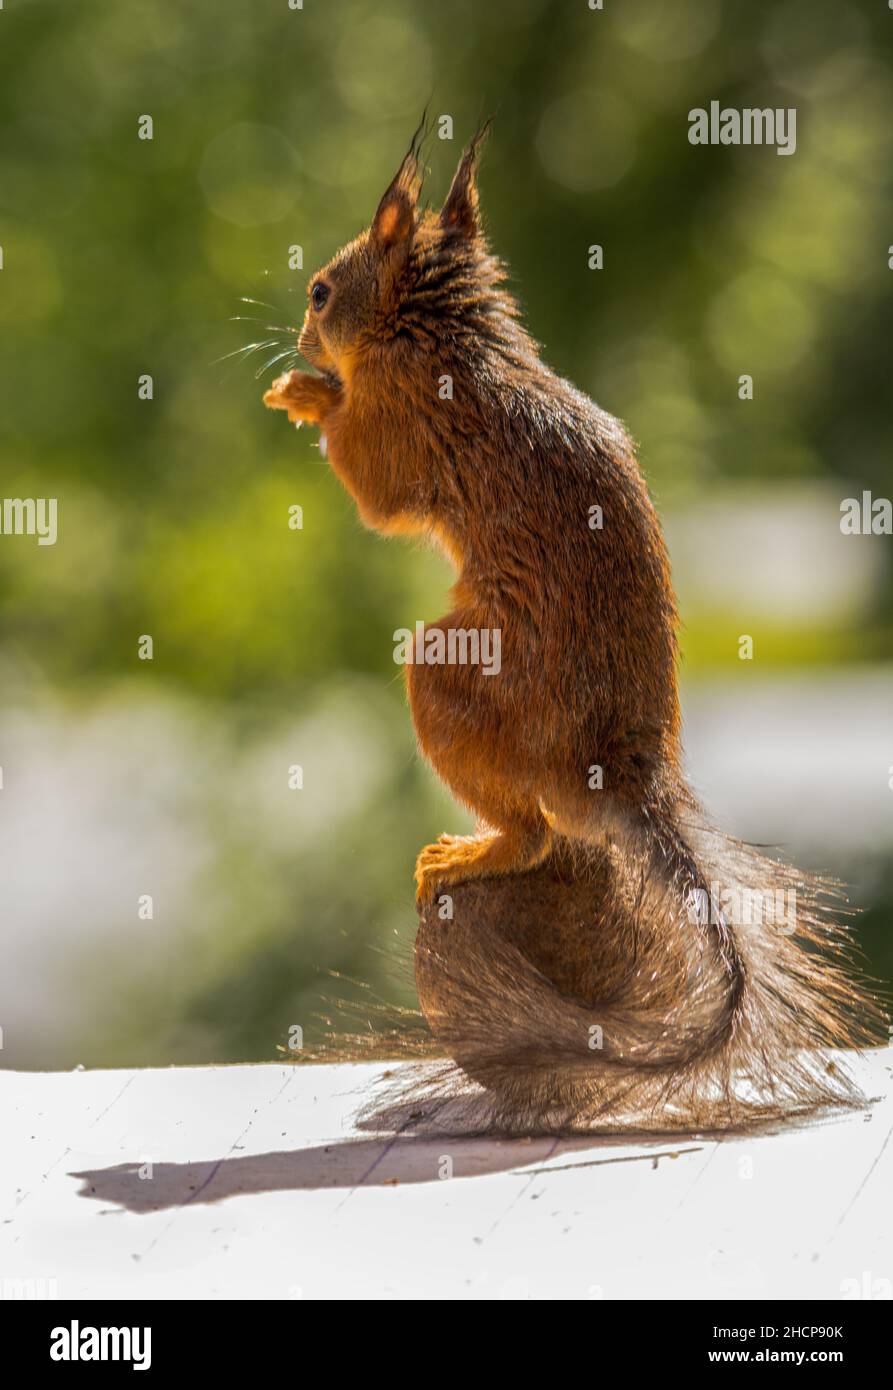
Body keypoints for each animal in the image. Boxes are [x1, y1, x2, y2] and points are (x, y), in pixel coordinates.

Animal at [264, 122, 887, 1133]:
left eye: (322, 289)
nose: (300, 332)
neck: (446, 337)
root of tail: (621, 772)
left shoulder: (404, 420)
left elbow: (378, 494)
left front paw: (308, 393)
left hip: (455, 674)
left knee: (533, 837)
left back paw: (468, 852)